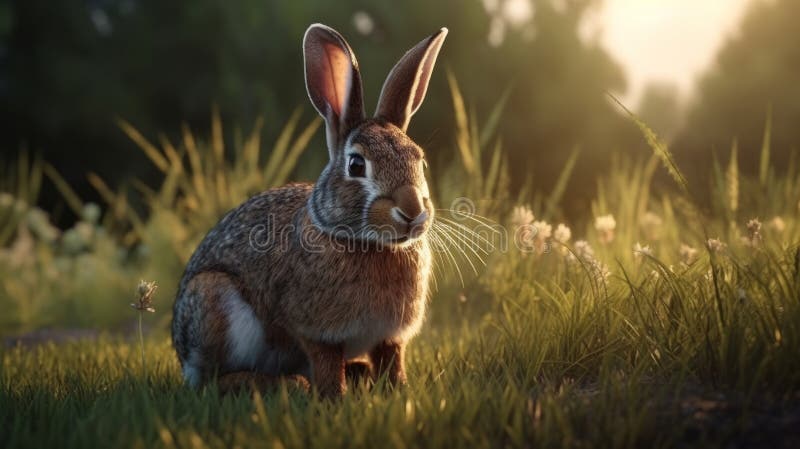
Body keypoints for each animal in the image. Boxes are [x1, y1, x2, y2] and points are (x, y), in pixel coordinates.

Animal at [171, 23, 447, 398]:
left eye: (420, 162)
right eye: (356, 165)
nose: (412, 210)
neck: (370, 243)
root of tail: (180, 351)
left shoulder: (390, 337)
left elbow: (392, 360)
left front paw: (400, 391)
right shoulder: (315, 330)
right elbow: (326, 361)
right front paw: (336, 396)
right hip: (214, 303)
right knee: (212, 381)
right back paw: (286, 384)